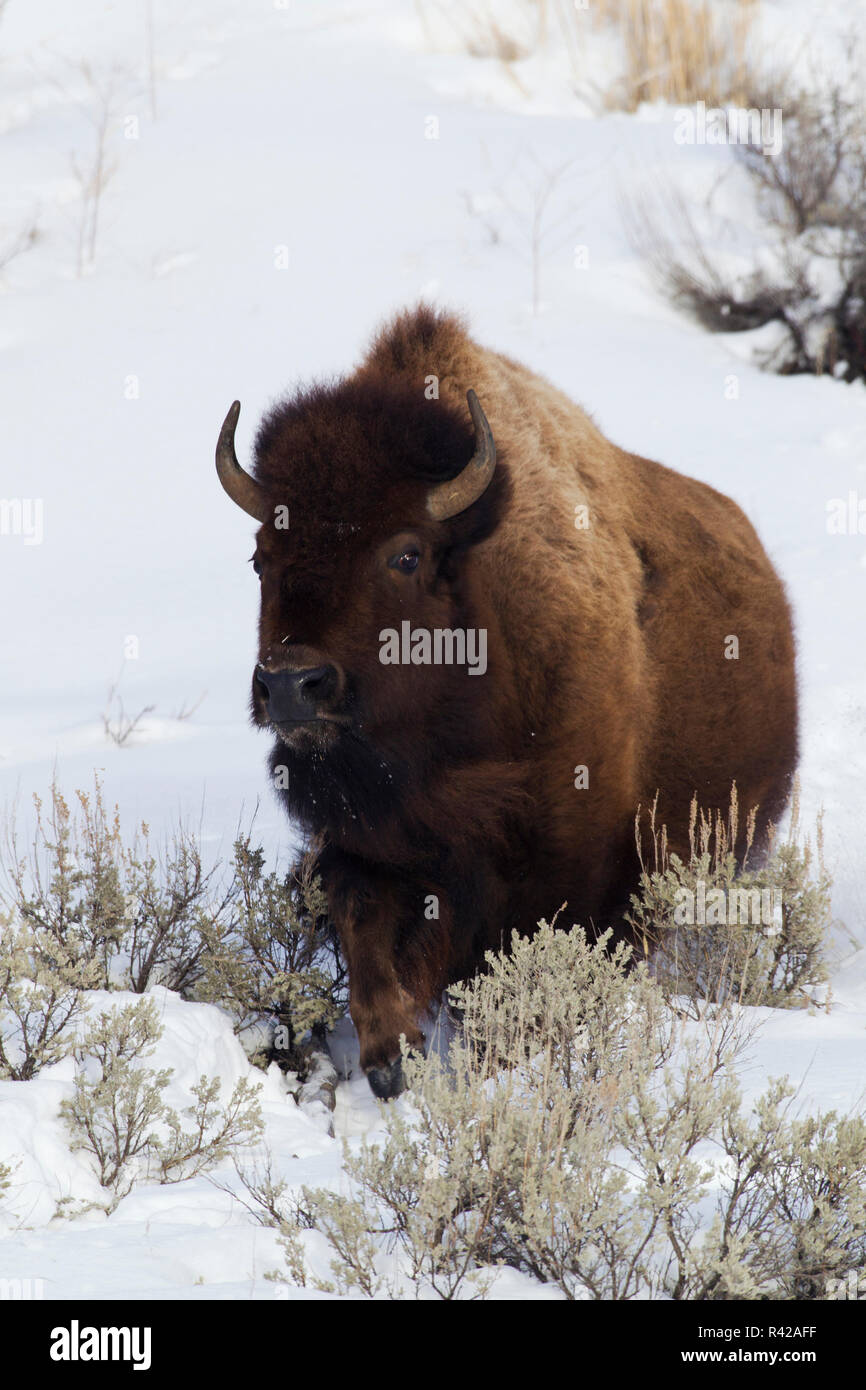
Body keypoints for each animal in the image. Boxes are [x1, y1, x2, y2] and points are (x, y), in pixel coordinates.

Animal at [215, 305, 798, 1097]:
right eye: (259, 557)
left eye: (406, 554)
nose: (289, 685)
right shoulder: (366, 842)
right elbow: (363, 924)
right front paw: (389, 1059)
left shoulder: (564, 869)